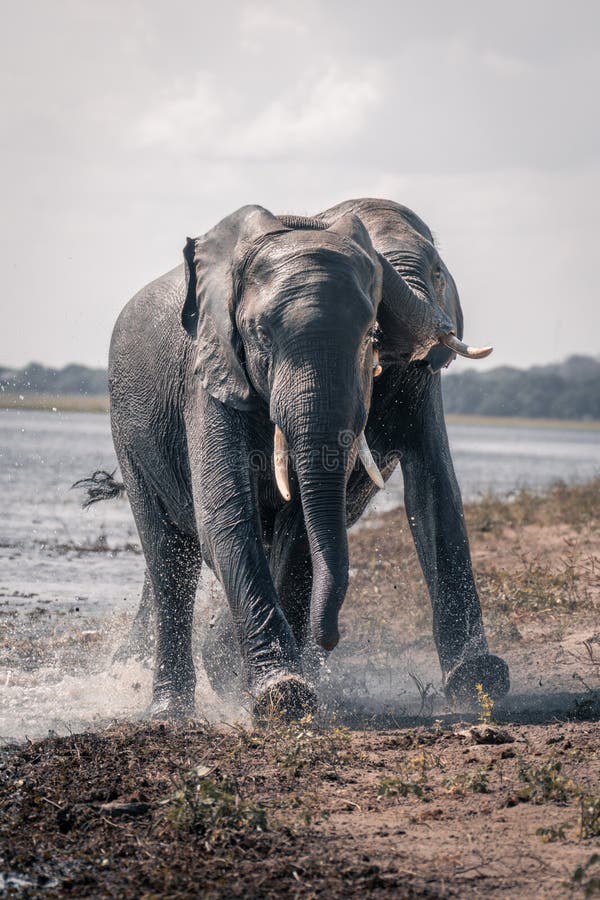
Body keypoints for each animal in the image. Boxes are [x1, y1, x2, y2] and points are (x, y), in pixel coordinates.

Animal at [84, 199, 509, 720]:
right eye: (262, 335)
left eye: (438, 273)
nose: (331, 639)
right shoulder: (210, 370)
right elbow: (227, 513)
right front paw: (280, 694)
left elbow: (431, 495)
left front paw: (479, 683)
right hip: (128, 429)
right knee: (169, 559)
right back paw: (170, 708)